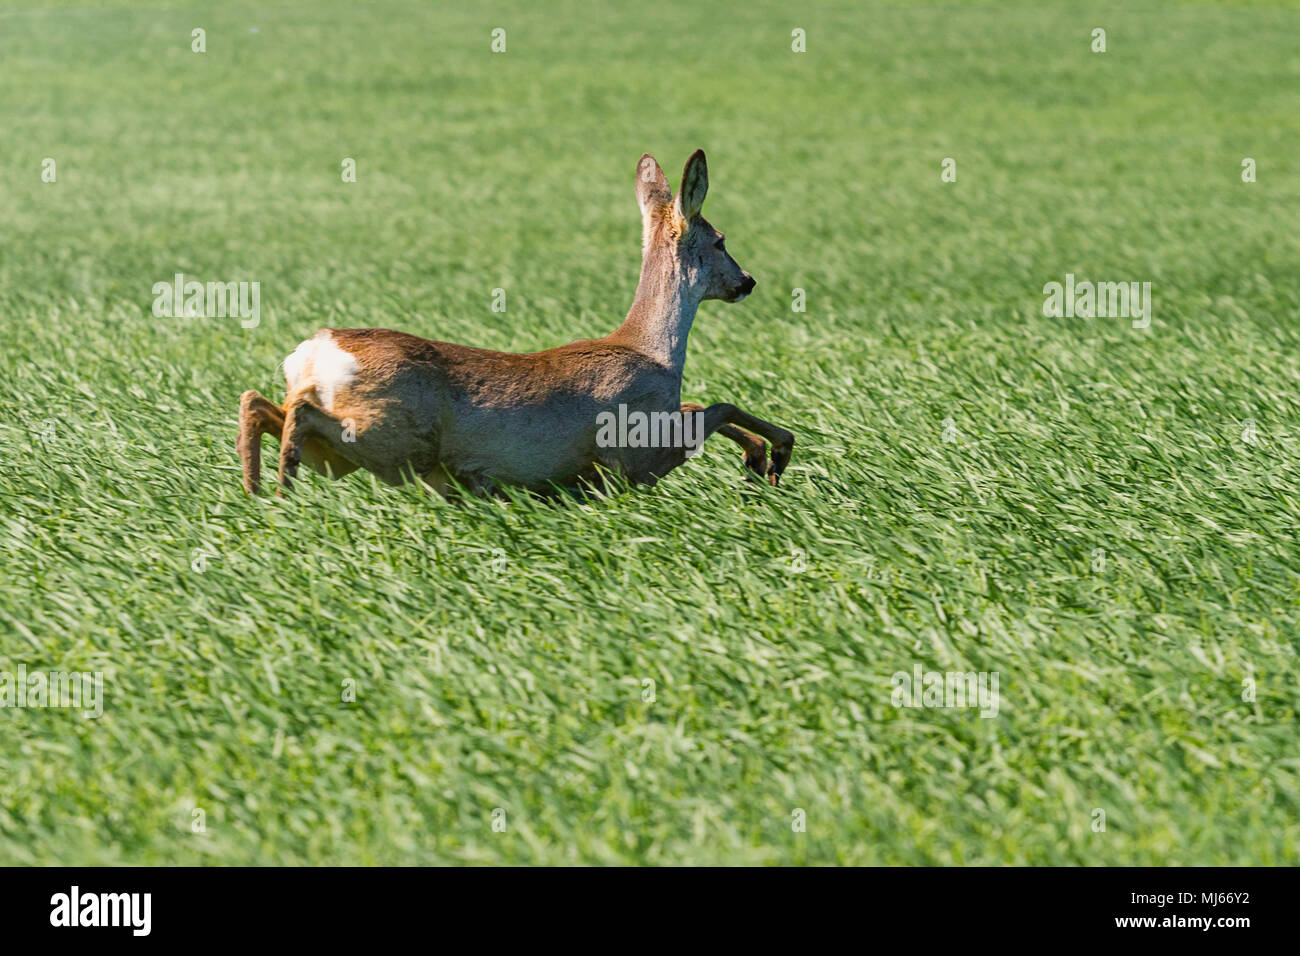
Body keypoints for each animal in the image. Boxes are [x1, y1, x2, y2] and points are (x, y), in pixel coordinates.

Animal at [236, 149, 795, 499]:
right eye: (721, 240)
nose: (747, 281)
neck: (653, 351)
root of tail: (316, 350)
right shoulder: (636, 448)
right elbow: (717, 406)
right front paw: (772, 457)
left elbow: (703, 403)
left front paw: (761, 460)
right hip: (392, 436)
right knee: (298, 413)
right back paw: (281, 489)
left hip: (346, 449)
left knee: (260, 403)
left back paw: (256, 490)